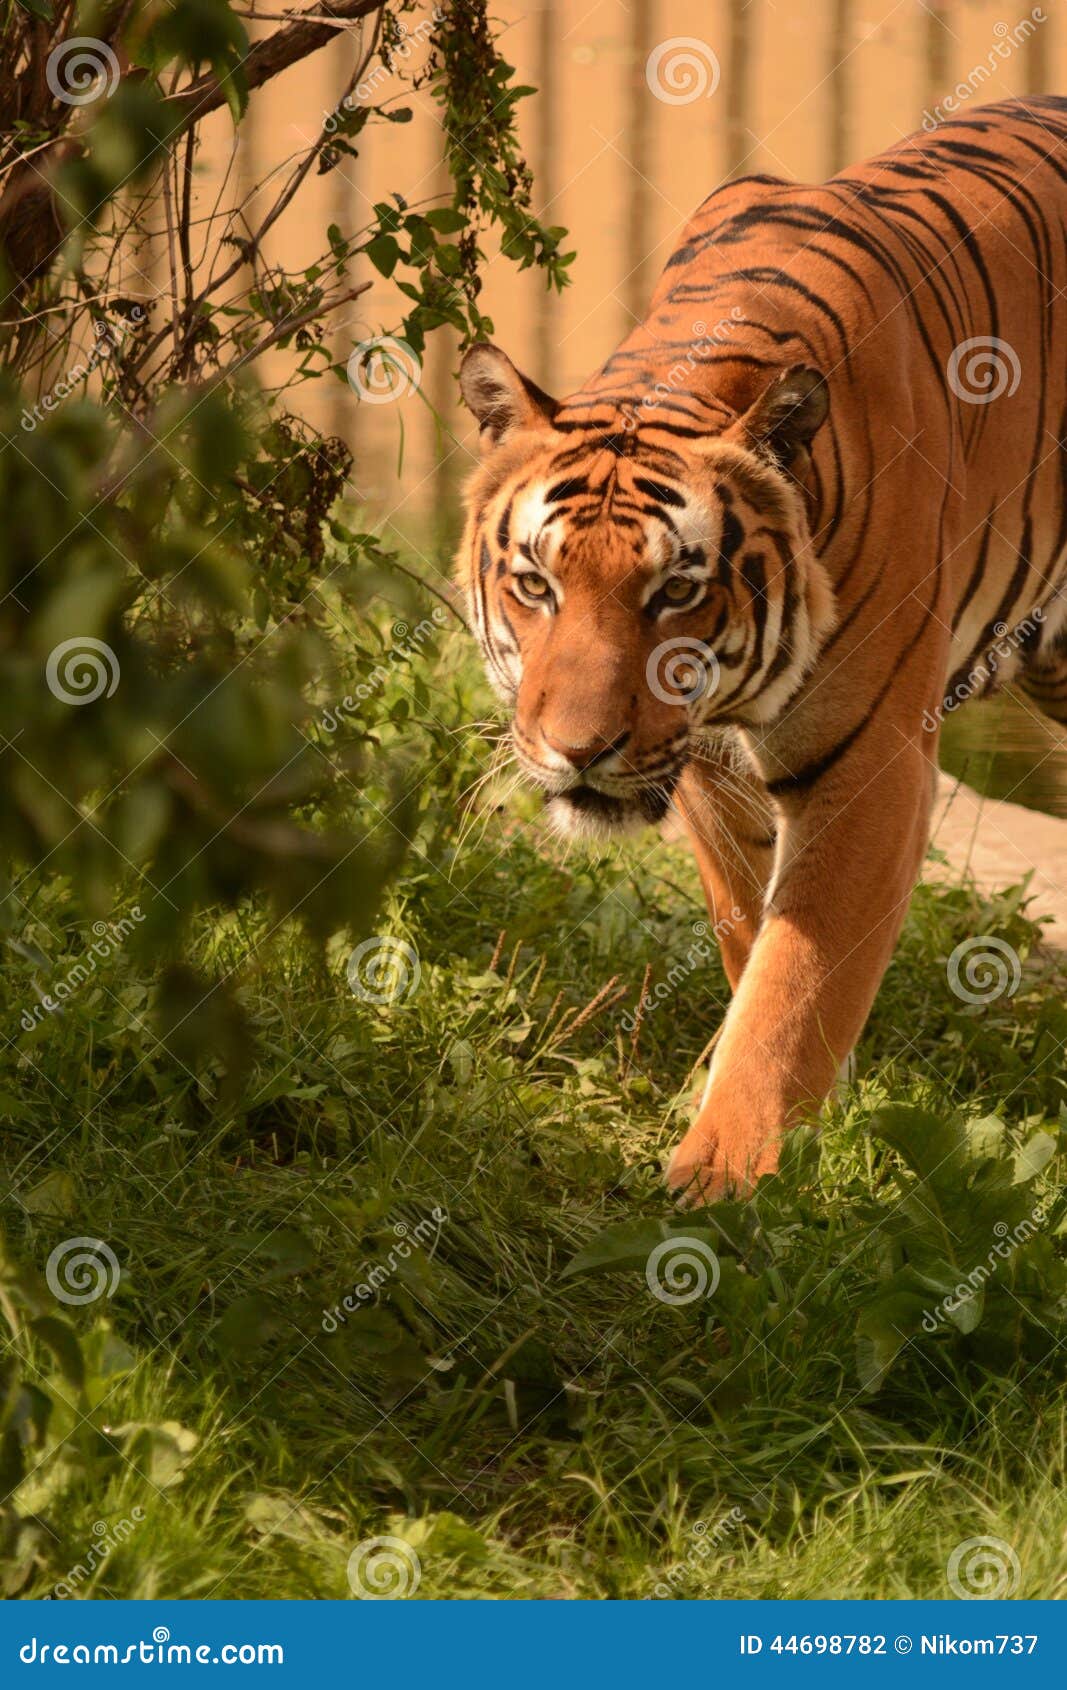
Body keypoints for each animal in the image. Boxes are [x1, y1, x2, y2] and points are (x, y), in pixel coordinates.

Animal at [455, 96, 1067, 1200]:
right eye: (536, 585)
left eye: (675, 593)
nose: (577, 752)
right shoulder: (708, 764)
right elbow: (751, 929)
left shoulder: (870, 763)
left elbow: (797, 971)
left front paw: (726, 1168)